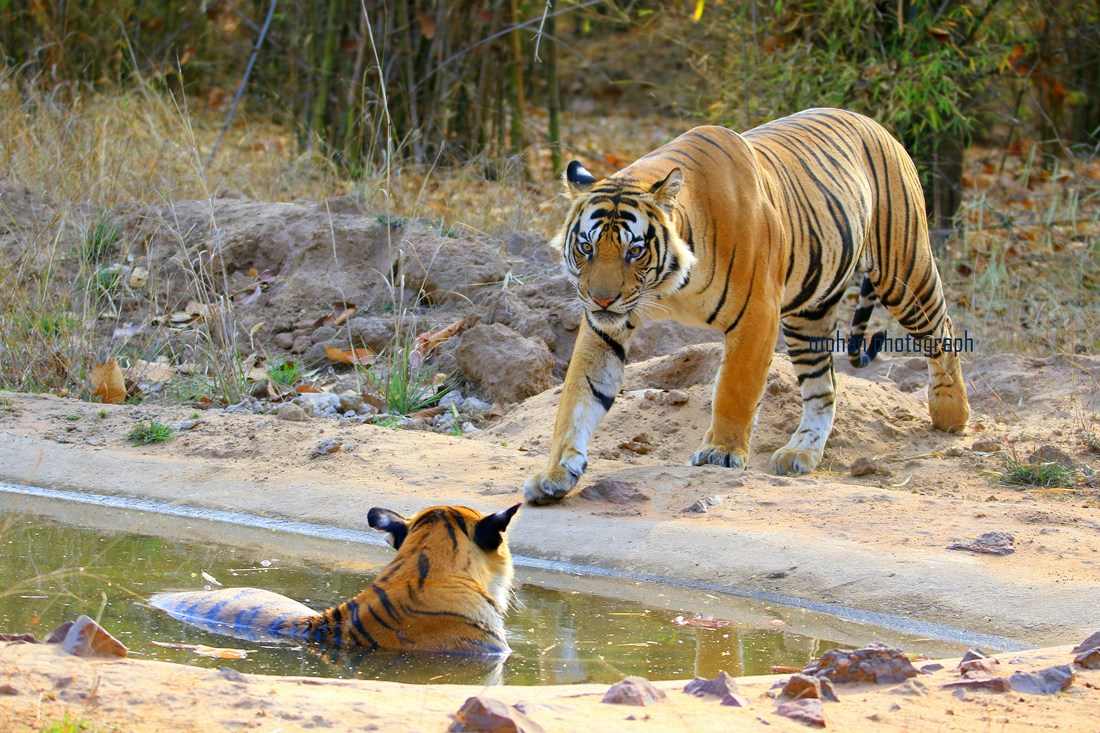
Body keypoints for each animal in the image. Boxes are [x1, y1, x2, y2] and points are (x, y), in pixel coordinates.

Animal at [525, 108, 970, 505]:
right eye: (586, 247)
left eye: (634, 250)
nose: (602, 298)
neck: (667, 285)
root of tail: (875, 124)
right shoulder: (606, 328)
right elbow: (577, 398)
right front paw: (555, 473)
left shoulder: (757, 312)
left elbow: (735, 389)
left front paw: (720, 453)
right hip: (809, 314)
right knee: (823, 386)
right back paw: (801, 452)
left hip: (903, 271)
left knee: (941, 330)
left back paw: (950, 414)